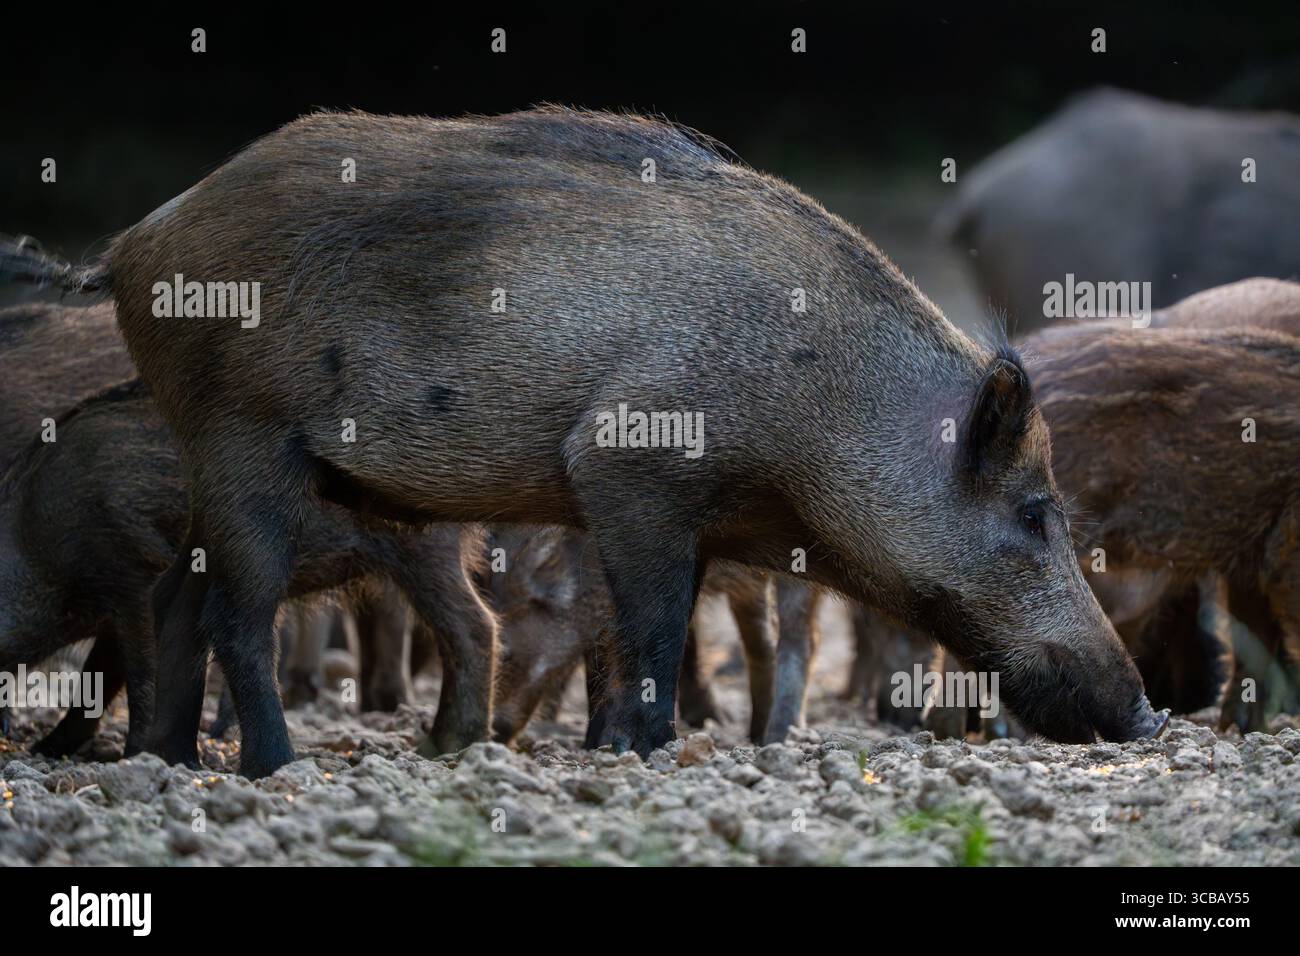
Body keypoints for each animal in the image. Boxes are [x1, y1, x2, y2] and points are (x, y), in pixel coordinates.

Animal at [0, 374, 497, 758]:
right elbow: (102, 675)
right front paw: (48, 749)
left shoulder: (131, 576)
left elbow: (133, 673)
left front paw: (132, 755)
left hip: (427, 550)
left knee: (475, 626)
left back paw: (446, 746)